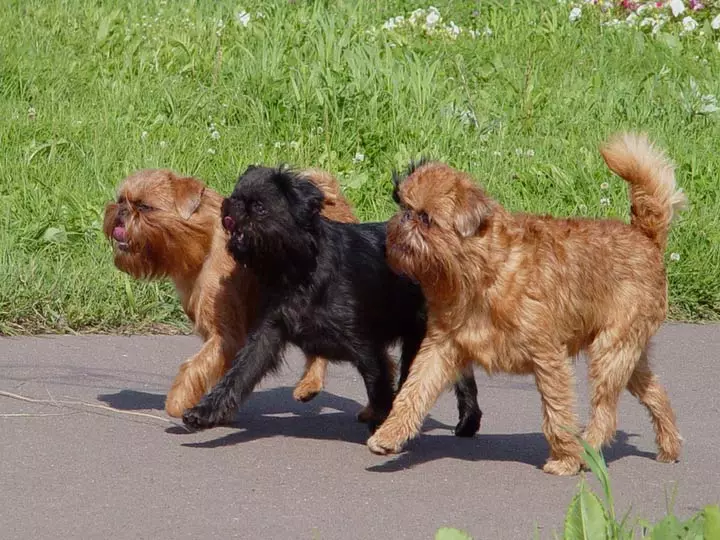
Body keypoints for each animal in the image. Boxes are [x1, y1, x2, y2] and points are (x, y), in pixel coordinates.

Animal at [103, 169, 358, 418]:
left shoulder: (225, 336)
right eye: (121, 200)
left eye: (145, 207)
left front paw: (178, 402)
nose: (121, 210)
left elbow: (195, 366)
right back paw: (309, 385)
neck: (203, 244)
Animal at [183, 165, 480, 434]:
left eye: (258, 207)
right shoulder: (266, 335)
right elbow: (238, 376)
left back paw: (465, 421)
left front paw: (381, 422)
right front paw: (205, 412)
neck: (298, 269)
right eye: (235, 196)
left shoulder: (366, 345)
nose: (228, 205)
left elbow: (378, 383)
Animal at [368, 133, 684, 474]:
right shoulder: (440, 347)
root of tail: (646, 238)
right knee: (655, 392)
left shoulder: (548, 356)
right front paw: (388, 435)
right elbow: (413, 392)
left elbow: (557, 412)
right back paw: (669, 446)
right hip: (626, 353)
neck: (483, 273)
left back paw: (586, 452)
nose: (403, 218)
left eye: (426, 218)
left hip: (611, 351)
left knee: (605, 412)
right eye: (404, 206)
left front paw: (564, 459)